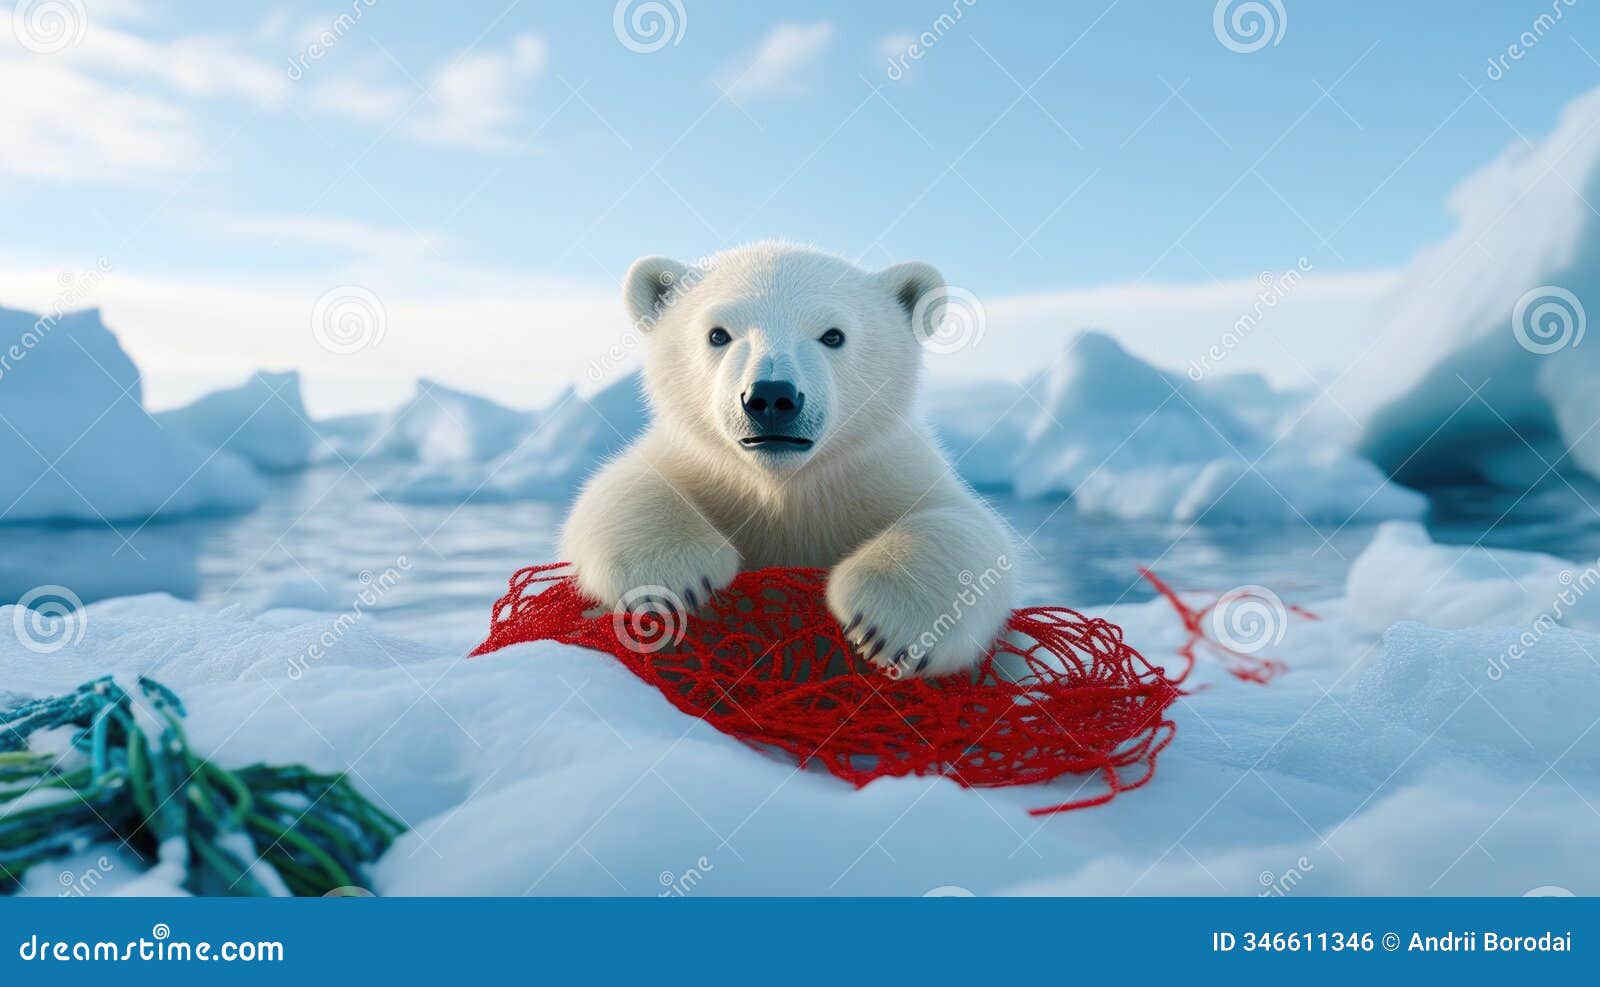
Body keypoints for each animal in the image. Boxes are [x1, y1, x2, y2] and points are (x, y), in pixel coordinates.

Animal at [560, 241, 1016, 678]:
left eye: (833, 336)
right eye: (718, 334)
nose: (771, 397)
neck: (783, 486)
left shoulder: (885, 471)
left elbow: (968, 529)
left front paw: (889, 621)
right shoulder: (697, 464)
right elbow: (617, 489)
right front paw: (676, 575)